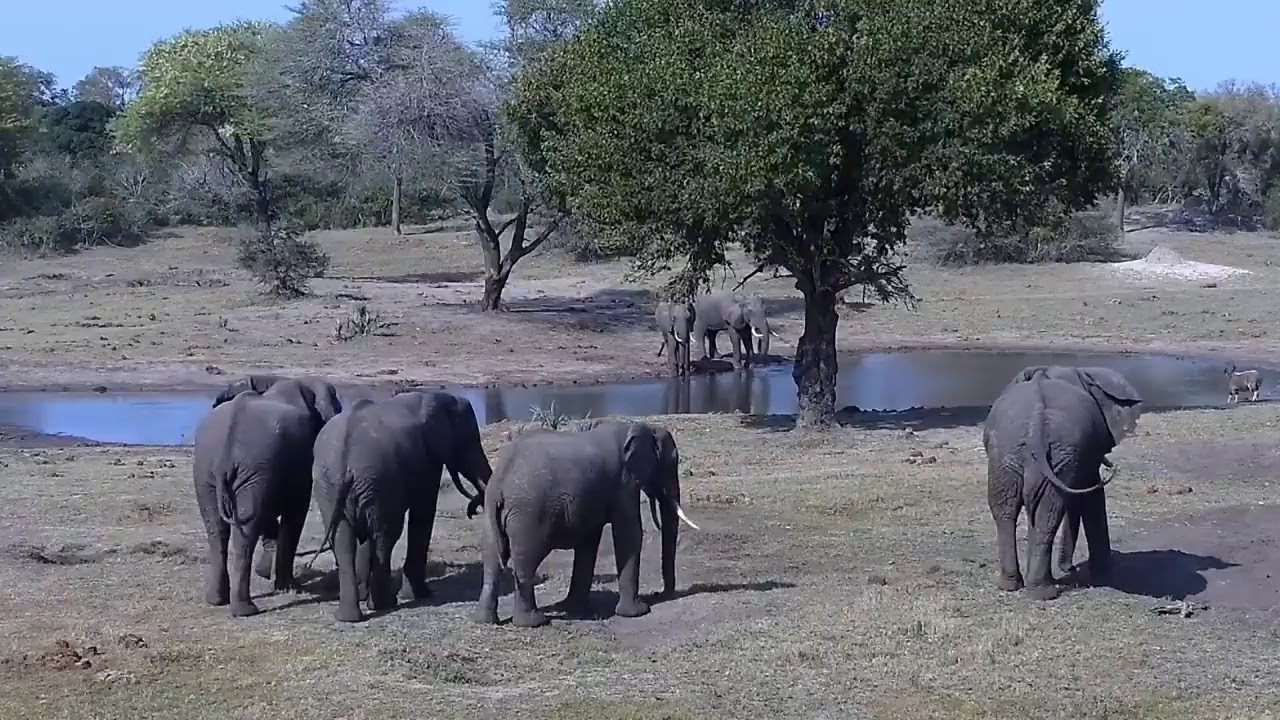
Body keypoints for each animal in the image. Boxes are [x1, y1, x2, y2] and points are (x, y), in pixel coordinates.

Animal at [192, 376, 343, 616]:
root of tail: (225, 454)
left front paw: (265, 573)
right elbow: (295, 513)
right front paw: (287, 586)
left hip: (209, 472)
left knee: (216, 528)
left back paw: (216, 600)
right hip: (248, 468)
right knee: (245, 534)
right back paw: (246, 610)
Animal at [311, 390, 492, 623]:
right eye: (469, 442)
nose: (472, 511)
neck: (432, 397)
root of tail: (345, 461)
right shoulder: (427, 458)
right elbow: (423, 512)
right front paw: (420, 595)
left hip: (330, 485)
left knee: (344, 540)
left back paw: (349, 615)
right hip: (379, 480)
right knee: (384, 536)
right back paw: (384, 603)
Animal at [472, 420, 700, 628]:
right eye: (671, 462)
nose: (661, 592)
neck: (639, 427)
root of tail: (500, 480)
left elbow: (589, 542)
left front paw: (576, 607)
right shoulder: (623, 483)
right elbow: (629, 534)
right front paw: (638, 612)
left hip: (492, 511)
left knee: (492, 561)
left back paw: (486, 620)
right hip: (529, 514)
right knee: (525, 562)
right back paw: (533, 622)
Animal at [984, 366, 1142, 599]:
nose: (1070, 568)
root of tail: (1036, 425)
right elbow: (1092, 497)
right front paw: (1103, 576)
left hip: (1013, 451)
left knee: (1008, 509)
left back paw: (1014, 585)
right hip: (1040, 451)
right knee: (1047, 511)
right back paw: (1043, 591)